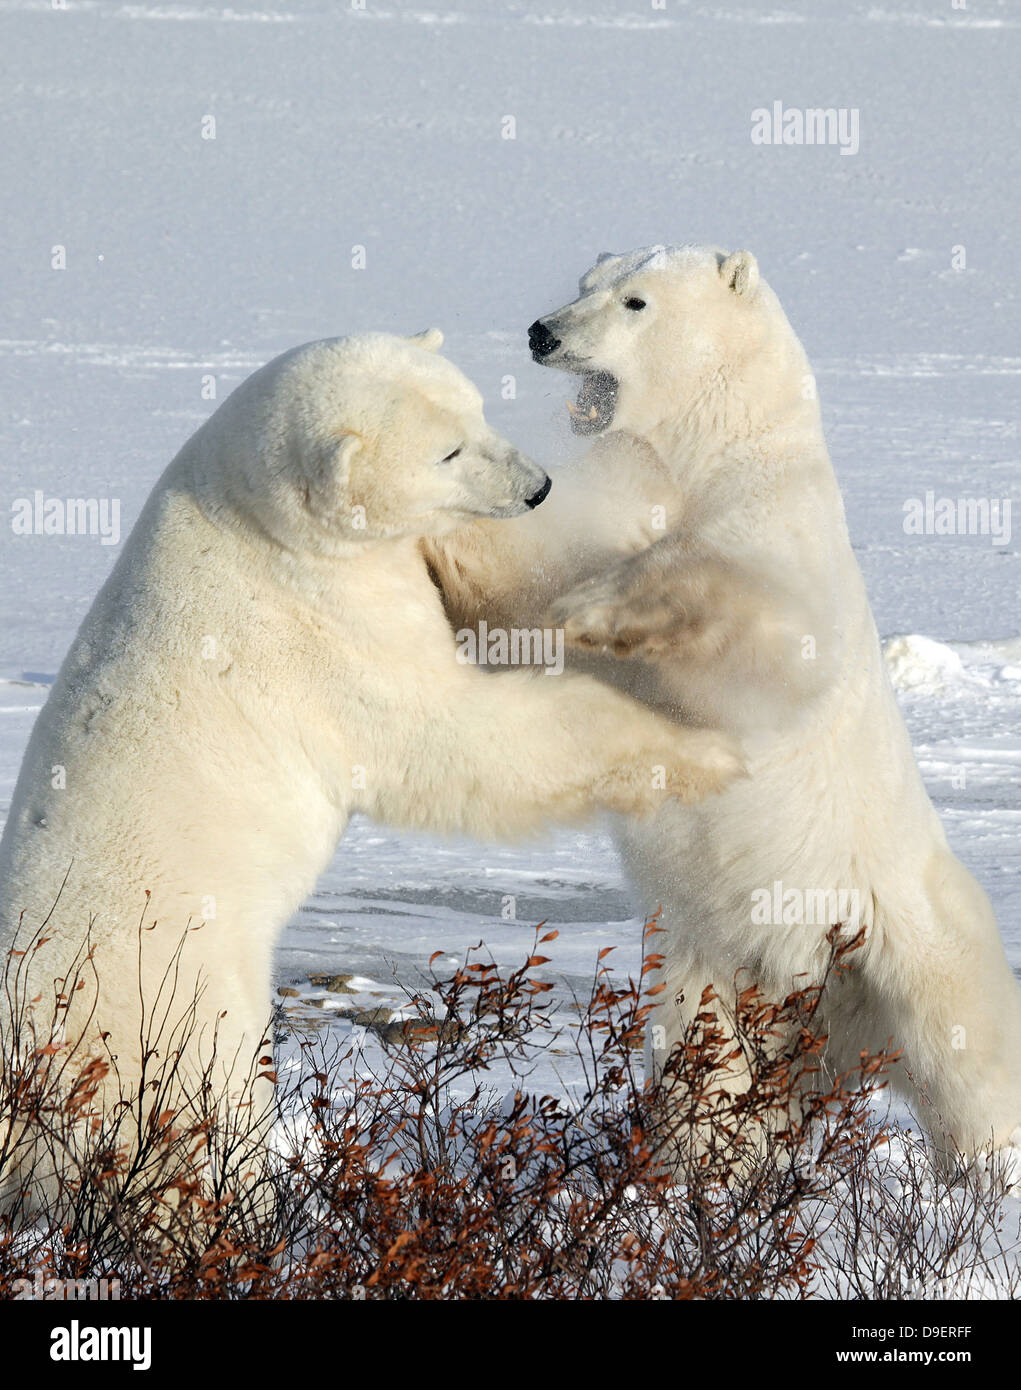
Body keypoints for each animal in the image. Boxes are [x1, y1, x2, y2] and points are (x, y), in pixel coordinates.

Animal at [0, 328, 743, 1208]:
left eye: (478, 409)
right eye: (446, 450)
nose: (537, 486)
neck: (259, 525)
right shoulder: (323, 633)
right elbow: (461, 738)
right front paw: (704, 750)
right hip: (160, 1007)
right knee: (183, 1124)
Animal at [424, 245, 1021, 1179]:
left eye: (634, 300)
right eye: (586, 279)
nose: (542, 332)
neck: (711, 451)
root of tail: (821, 1002)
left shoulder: (778, 542)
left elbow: (747, 621)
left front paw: (600, 602)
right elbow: (525, 606)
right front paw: (448, 544)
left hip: (902, 931)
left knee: (968, 1062)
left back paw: (984, 1179)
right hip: (705, 957)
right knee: (708, 1068)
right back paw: (698, 1164)